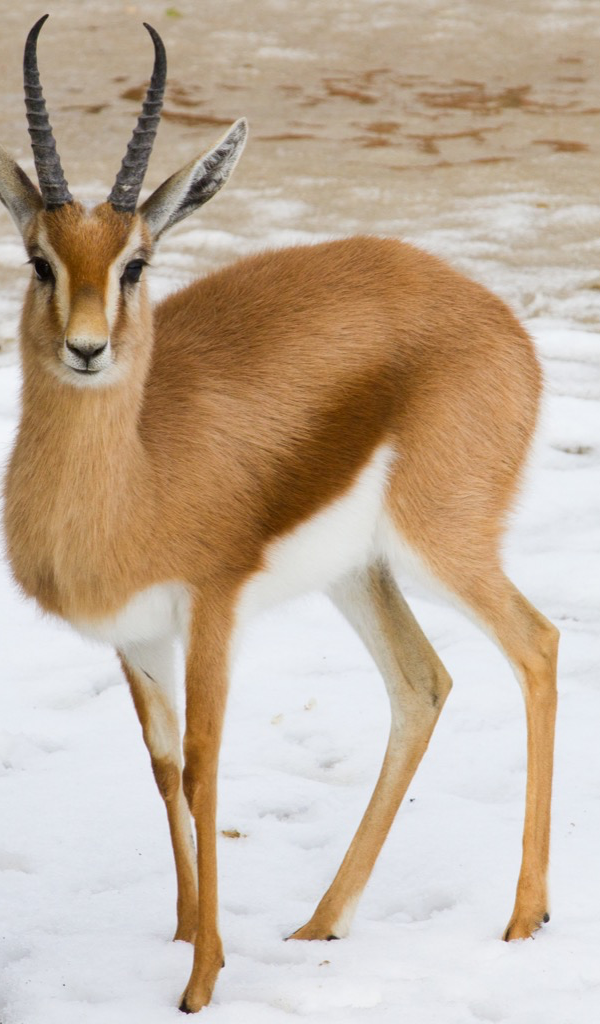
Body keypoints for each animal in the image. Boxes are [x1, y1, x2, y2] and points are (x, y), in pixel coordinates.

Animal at [0, 14, 558, 1014]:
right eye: (39, 261)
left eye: (136, 263)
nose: (86, 350)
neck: (135, 476)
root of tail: (501, 318)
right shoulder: (137, 637)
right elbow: (164, 764)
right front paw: (188, 932)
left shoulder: (214, 610)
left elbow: (208, 763)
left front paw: (201, 982)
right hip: (358, 573)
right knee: (422, 683)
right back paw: (322, 921)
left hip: (441, 547)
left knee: (536, 645)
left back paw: (523, 918)